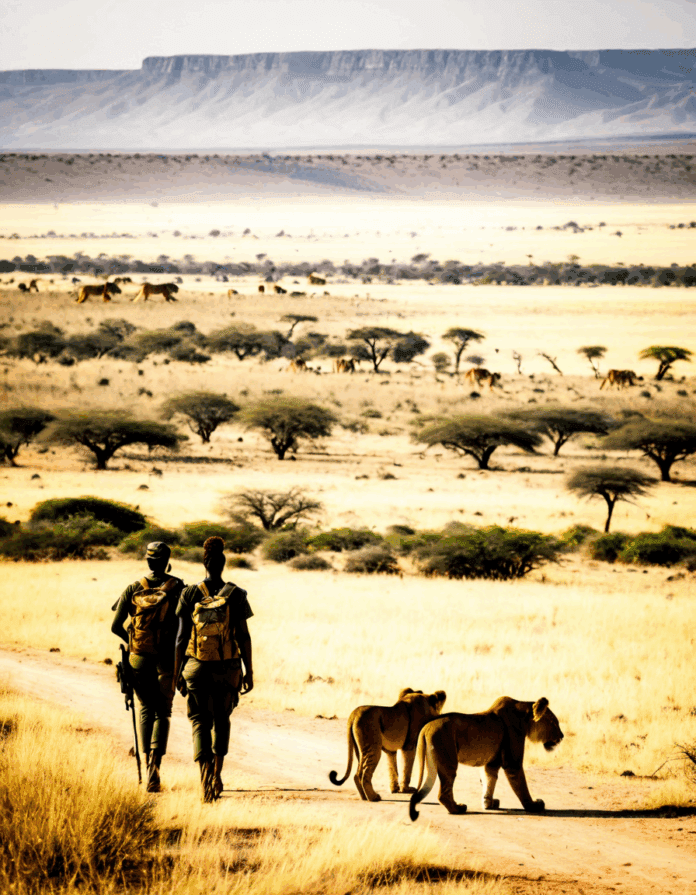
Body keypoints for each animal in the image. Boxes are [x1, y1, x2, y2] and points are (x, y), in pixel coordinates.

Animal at [409, 696, 563, 821]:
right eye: (554, 722)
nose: (562, 736)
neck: (524, 718)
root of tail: (426, 727)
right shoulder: (512, 762)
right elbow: (521, 786)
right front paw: (533, 805)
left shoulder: (492, 762)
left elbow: (489, 780)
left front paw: (489, 803)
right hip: (448, 761)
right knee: (443, 793)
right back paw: (458, 809)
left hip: (432, 763)